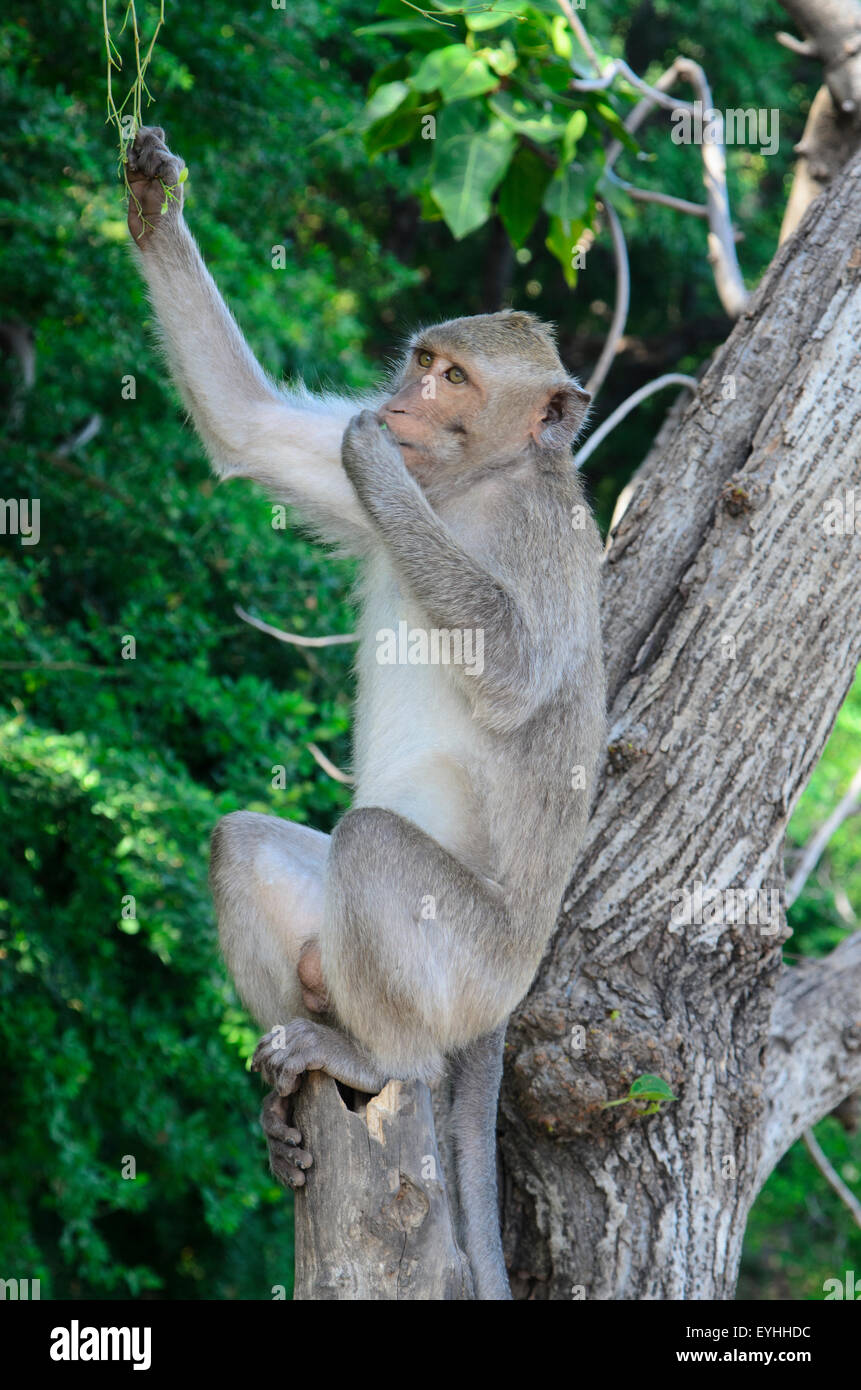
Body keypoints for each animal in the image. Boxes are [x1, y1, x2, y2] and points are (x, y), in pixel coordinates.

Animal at [125, 126, 606, 1301]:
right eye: (424, 360)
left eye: (455, 378)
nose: (405, 401)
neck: (473, 485)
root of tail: (503, 1012)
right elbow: (248, 429)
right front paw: (153, 200)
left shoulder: (546, 535)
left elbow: (515, 669)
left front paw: (372, 457)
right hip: (332, 957)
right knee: (246, 842)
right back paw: (286, 1097)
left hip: (467, 973)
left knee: (379, 850)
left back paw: (379, 1060)